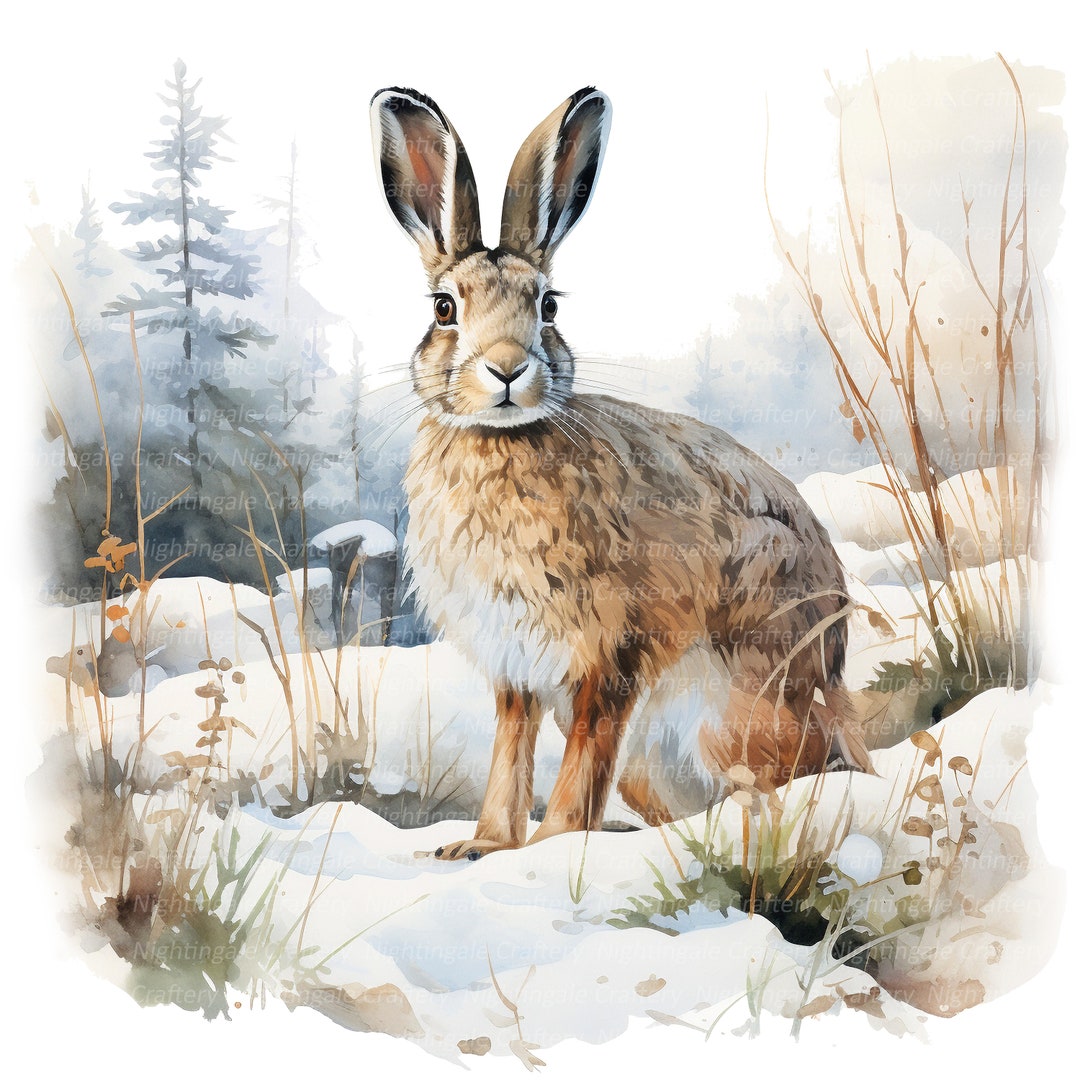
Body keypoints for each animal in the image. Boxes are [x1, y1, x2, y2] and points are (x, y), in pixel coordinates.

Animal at [370, 86, 872, 860]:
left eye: (548, 305)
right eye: (444, 308)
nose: (507, 369)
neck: (503, 442)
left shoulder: (610, 653)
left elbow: (584, 754)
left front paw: (551, 842)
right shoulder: (515, 665)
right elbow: (510, 751)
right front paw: (483, 845)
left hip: (732, 706)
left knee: (794, 778)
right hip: (654, 765)